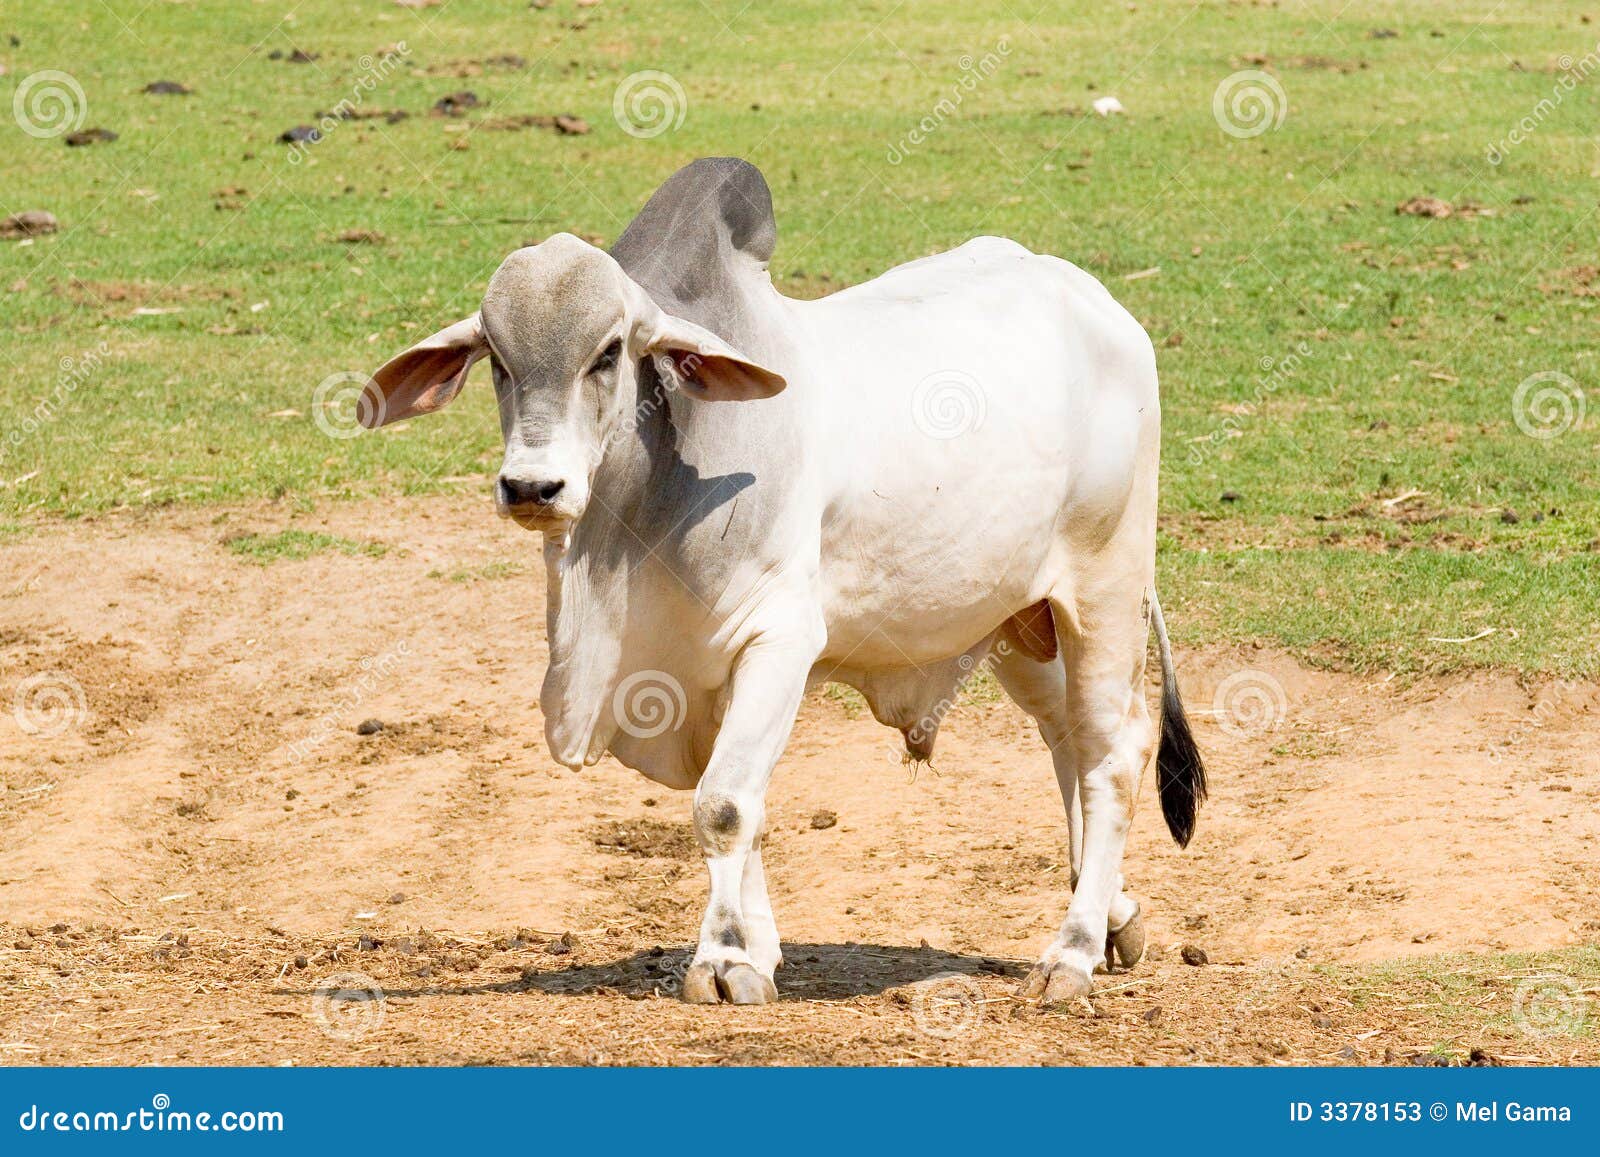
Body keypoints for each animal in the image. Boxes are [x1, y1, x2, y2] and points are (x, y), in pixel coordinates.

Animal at [357, 157, 1206, 1006]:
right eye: (497, 360)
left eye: (607, 352)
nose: (532, 486)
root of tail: (1101, 306)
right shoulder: (692, 679)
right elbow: (745, 806)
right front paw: (757, 949)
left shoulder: (778, 639)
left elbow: (725, 805)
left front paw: (723, 957)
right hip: (1018, 620)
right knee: (1069, 739)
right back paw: (1115, 914)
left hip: (1103, 587)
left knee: (1110, 756)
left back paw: (1074, 947)